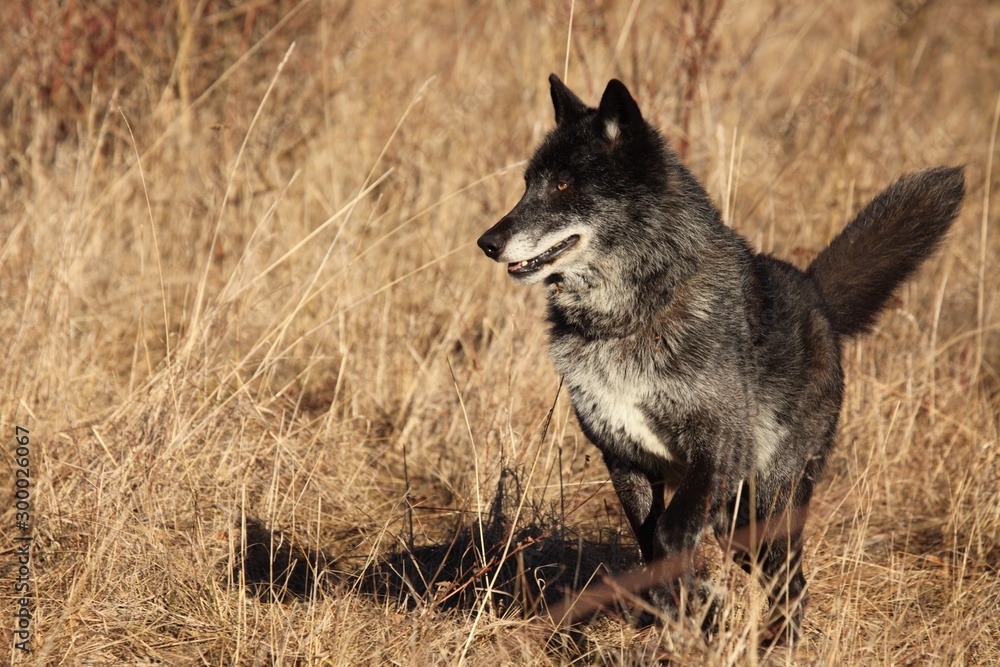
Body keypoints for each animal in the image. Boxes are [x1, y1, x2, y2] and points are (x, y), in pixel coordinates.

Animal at [476, 74, 964, 645]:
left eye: (564, 187)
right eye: (528, 183)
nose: (487, 242)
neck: (633, 316)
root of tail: (818, 298)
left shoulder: (715, 452)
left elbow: (671, 533)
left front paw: (696, 608)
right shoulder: (625, 460)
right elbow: (651, 545)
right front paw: (682, 610)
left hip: (758, 510)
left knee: (791, 583)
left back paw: (776, 644)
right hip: (736, 522)